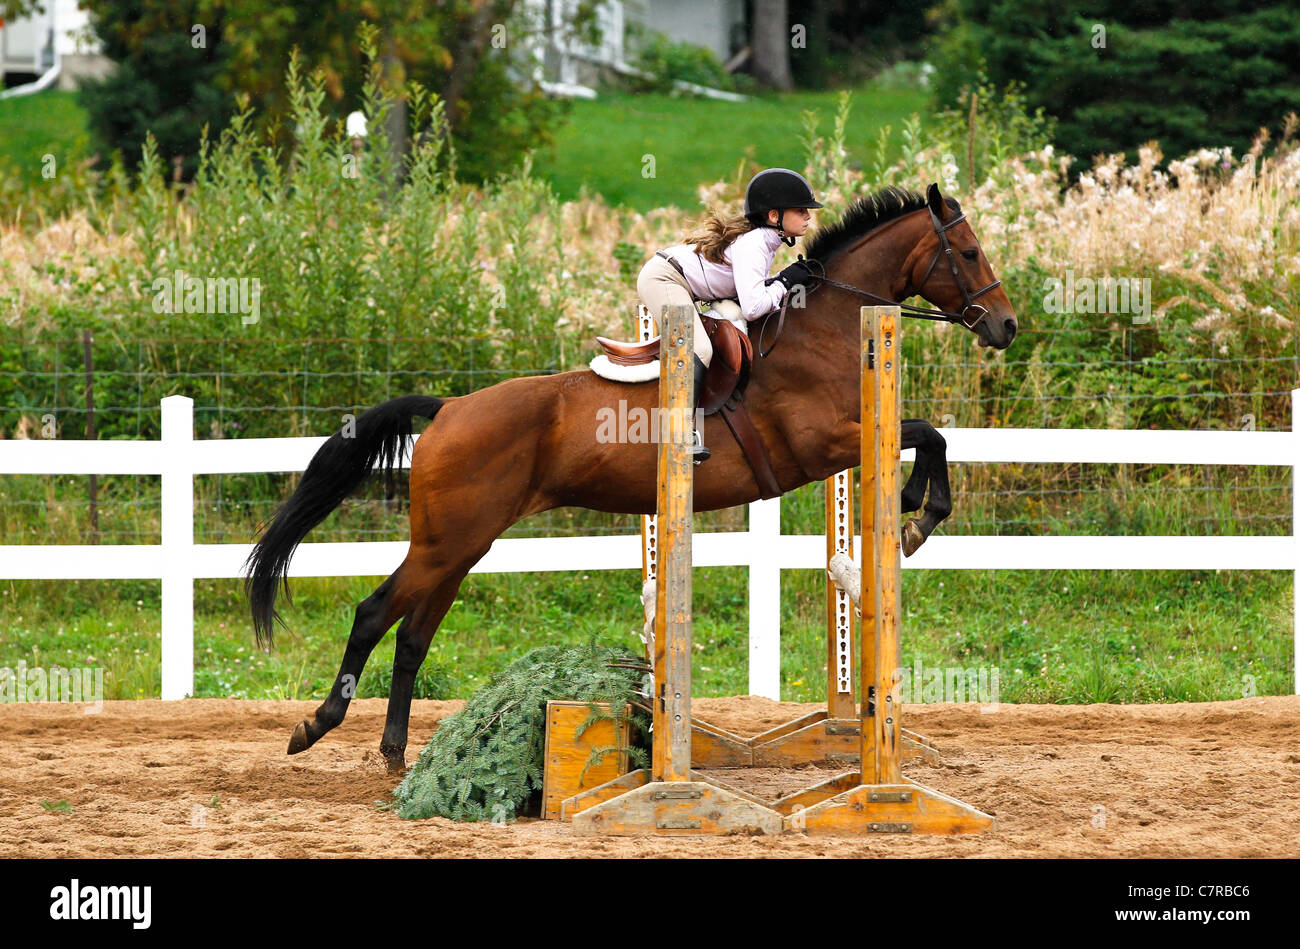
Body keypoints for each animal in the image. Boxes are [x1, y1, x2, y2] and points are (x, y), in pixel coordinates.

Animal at [245, 183, 1018, 771]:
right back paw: (316, 724)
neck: (819, 326)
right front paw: (918, 514)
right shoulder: (821, 443)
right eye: (968, 252)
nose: (1006, 326)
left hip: (463, 545)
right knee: (375, 614)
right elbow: (928, 434)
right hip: (446, 542)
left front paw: (916, 513)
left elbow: (928, 434)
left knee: (412, 635)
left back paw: (395, 752)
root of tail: (449, 408)